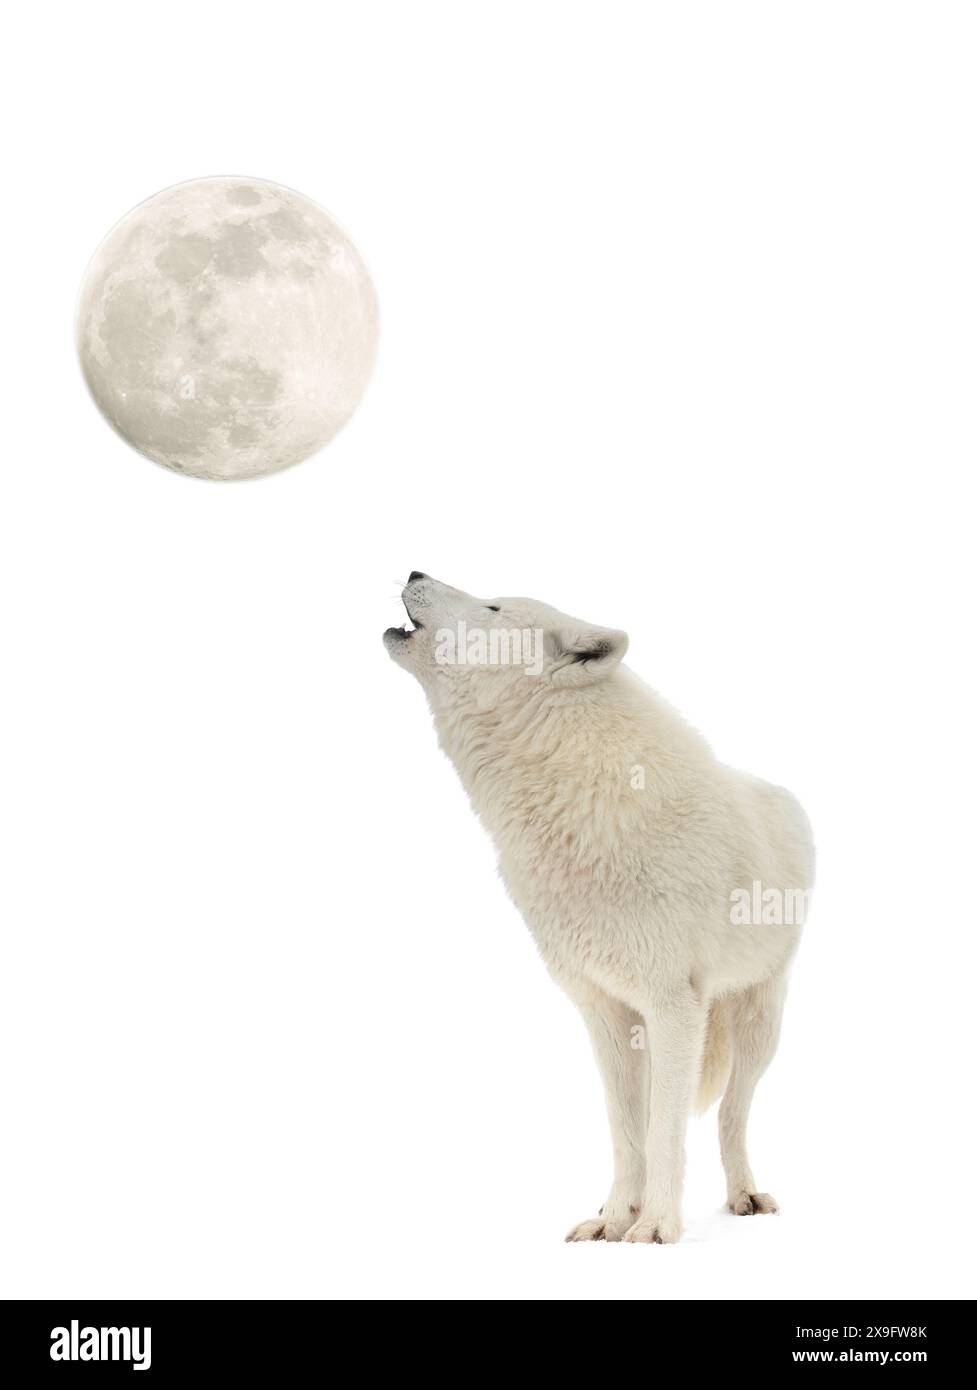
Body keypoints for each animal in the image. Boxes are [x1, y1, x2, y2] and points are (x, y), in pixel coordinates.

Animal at [385, 573, 814, 1243]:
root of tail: (783, 797)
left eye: (492, 607)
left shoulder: (672, 1005)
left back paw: (744, 1196)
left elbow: (664, 1134)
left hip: (757, 1025)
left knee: (731, 1115)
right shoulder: (604, 1011)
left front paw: (657, 1226)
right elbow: (626, 1131)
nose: (413, 573)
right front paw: (614, 1220)